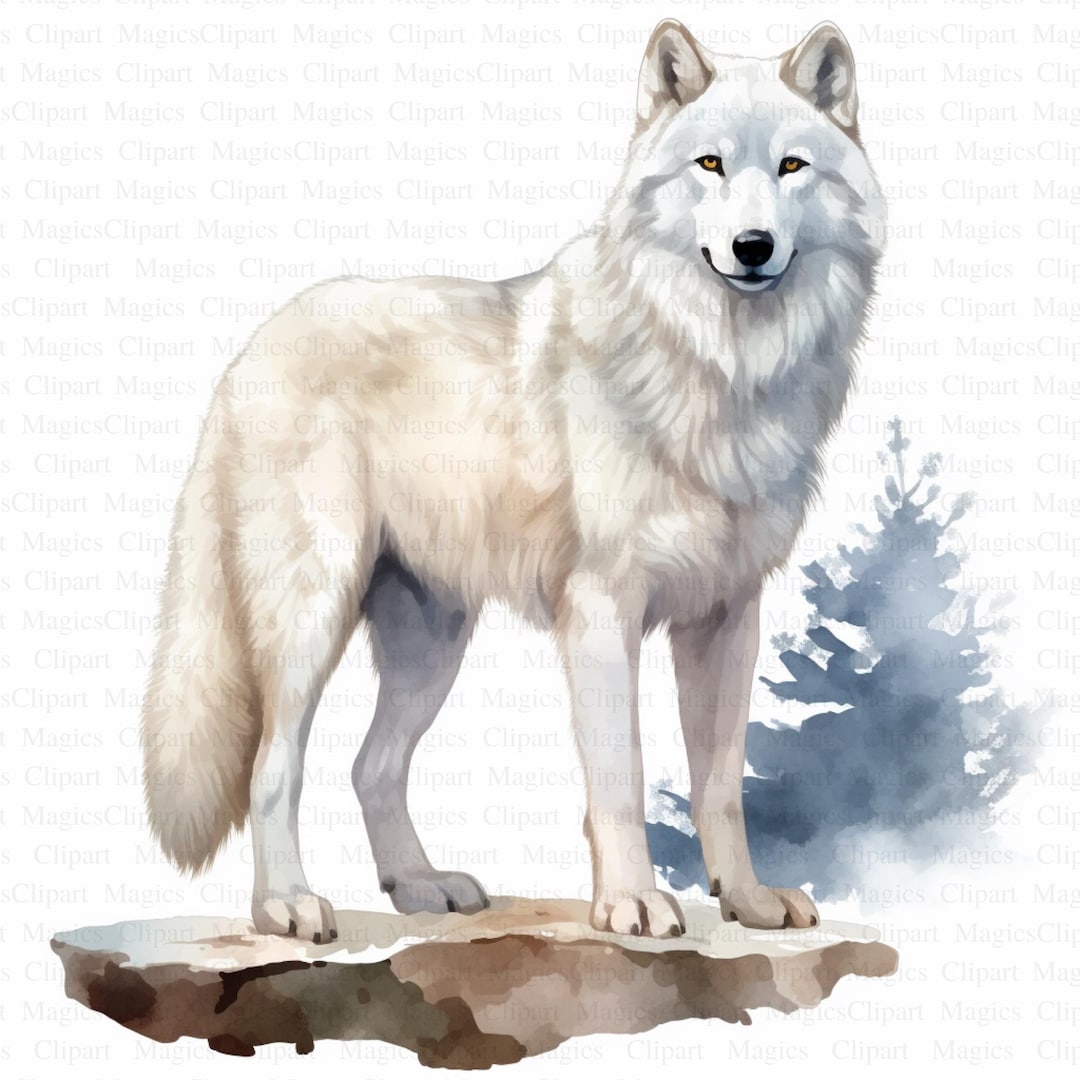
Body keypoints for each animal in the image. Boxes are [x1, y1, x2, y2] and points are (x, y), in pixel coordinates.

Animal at [141, 20, 886, 942]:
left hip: (431, 642)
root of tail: (247, 352)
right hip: (312, 618)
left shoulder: (727, 614)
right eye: (710, 164)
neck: (717, 367)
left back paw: (421, 885)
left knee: (371, 766)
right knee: (274, 767)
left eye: (791, 166)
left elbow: (719, 783)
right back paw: (287, 905)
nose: (753, 248)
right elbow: (621, 780)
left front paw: (744, 902)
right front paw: (632, 903)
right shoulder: (602, 612)